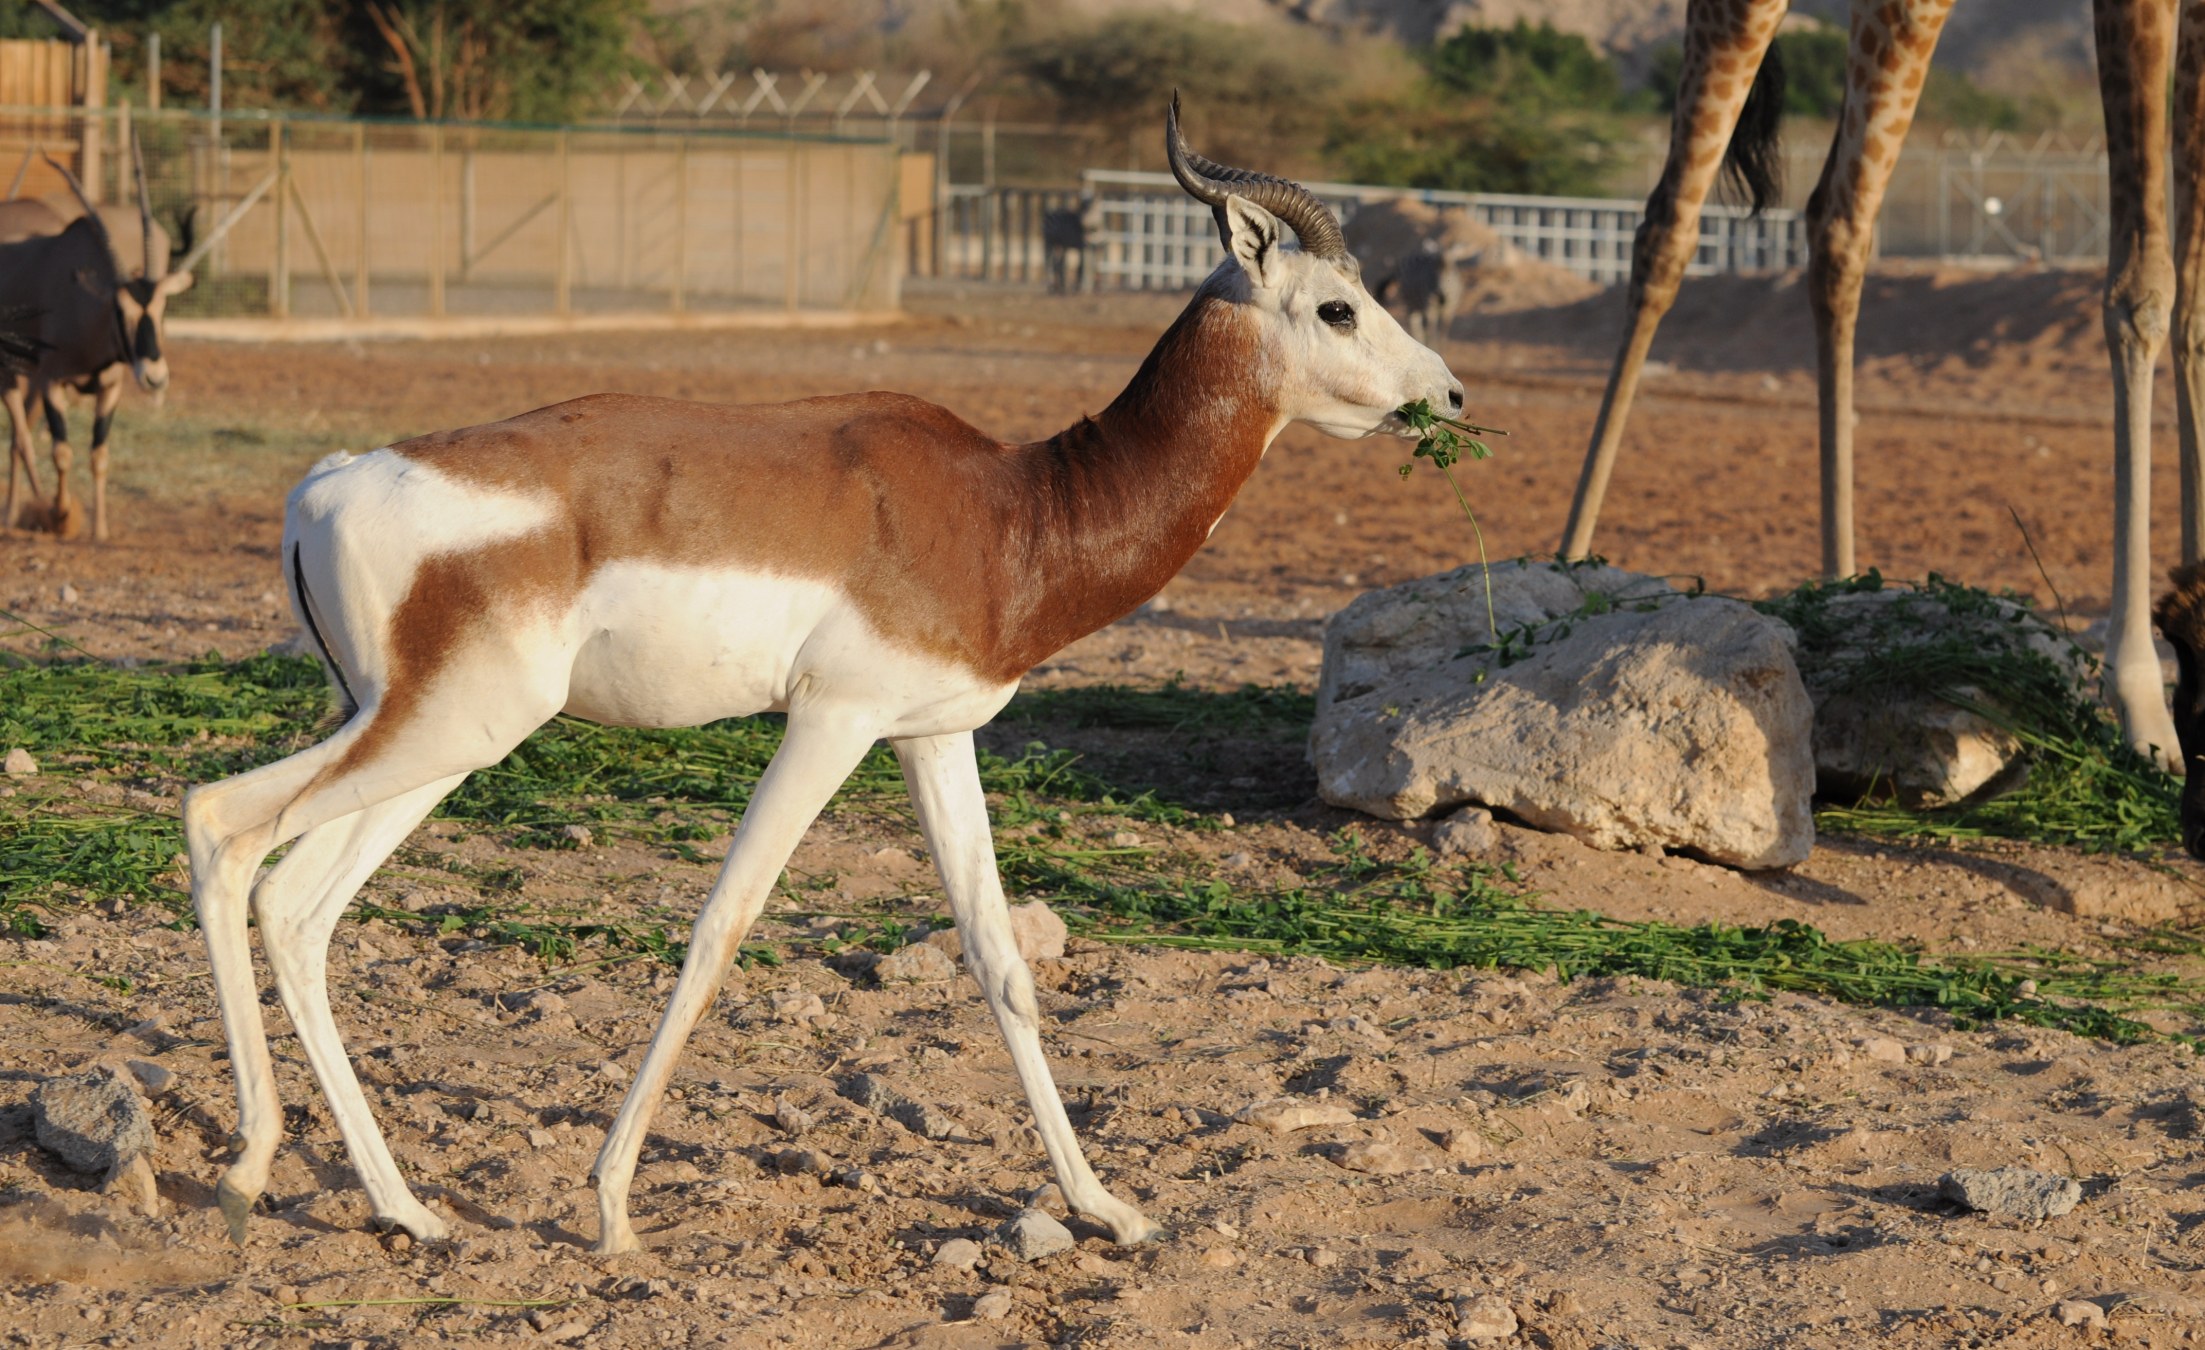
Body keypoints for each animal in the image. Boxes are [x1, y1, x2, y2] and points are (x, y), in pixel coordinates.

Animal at [0, 142, 192, 540]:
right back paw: (20, 513)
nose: (154, 378)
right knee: (22, 437)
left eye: (162, 307)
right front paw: (61, 515)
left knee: (17, 436)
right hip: (9, 375)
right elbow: (62, 452)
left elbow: (99, 454)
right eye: (119, 311)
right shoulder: (52, 382)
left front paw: (100, 530)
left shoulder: (109, 387)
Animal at [183, 98, 1464, 1254]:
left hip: (427, 739)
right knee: (224, 824)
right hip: (440, 729)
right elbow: (720, 927)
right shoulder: (831, 723)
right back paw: (249, 1172)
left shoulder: (932, 733)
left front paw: (1109, 1209)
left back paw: (401, 1210)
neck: (1014, 513)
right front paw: (611, 1209)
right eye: (1339, 304)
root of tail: (325, 485)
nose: (1450, 394)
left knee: (294, 903)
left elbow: (999, 960)